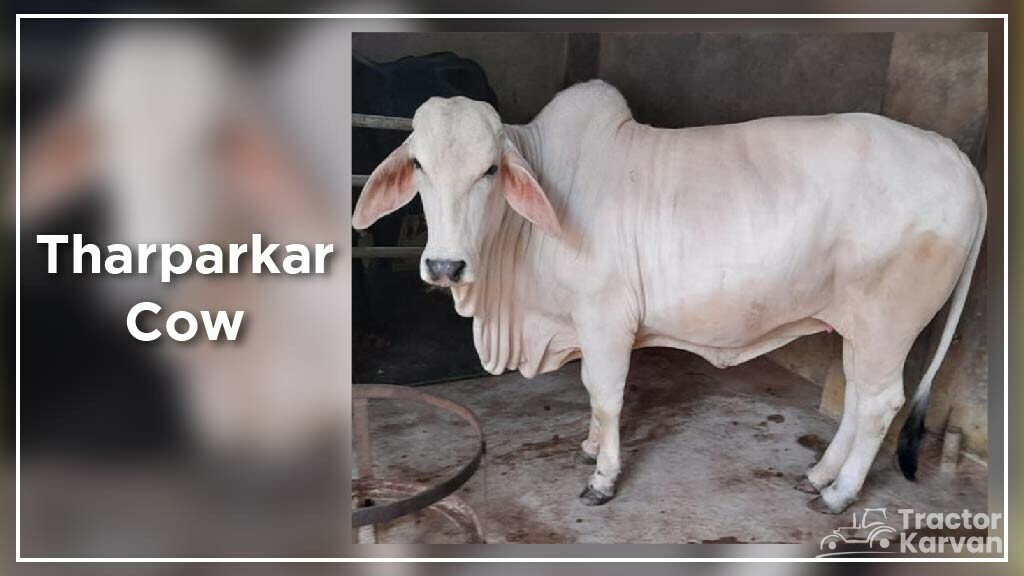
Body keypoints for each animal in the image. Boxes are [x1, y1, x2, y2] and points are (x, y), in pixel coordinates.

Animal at [352, 80, 987, 514]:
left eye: (489, 170)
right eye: (418, 163)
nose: (445, 265)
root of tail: (953, 156)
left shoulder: (606, 316)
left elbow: (605, 393)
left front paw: (603, 477)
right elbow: (593, 396)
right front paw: (590, 448)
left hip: (889, 321)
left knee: (880, 403)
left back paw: (840, 494)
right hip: (860, 325)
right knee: (858, 396)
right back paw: (820, 474)